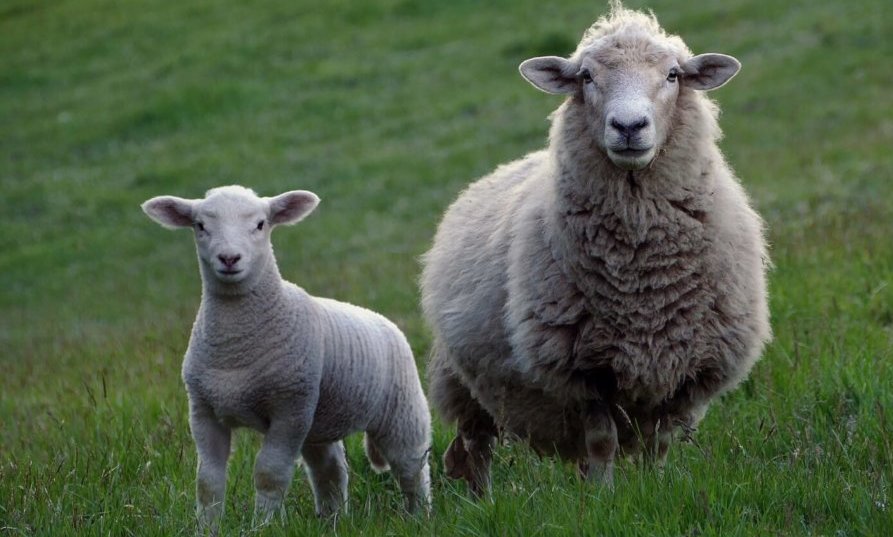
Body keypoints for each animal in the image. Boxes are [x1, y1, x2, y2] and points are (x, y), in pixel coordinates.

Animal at [141, 185, 431, 534]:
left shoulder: (289, 408)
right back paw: (332, 520)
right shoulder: (203, 411)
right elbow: (207, 481)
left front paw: (262, 526)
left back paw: (419, 517)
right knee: (330, 470)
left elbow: (270, 473)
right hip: (318, 421)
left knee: (411, 465)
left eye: (260, 224)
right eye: (200, 226)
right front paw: (206, 529)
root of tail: (383, 320)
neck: (235, 348)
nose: (229, 259)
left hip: (400, 410)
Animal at [420, 3, 770, 495]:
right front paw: (604, 497)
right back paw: (484, 500)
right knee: (477, 446)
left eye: (673, 75)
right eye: (586, 76)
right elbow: (602, 440)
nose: (628, 126)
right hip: (463, 382)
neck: (643, 275)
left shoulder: (686, 369)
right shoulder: (583, 370)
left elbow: (659, 443)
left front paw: (653, 489)